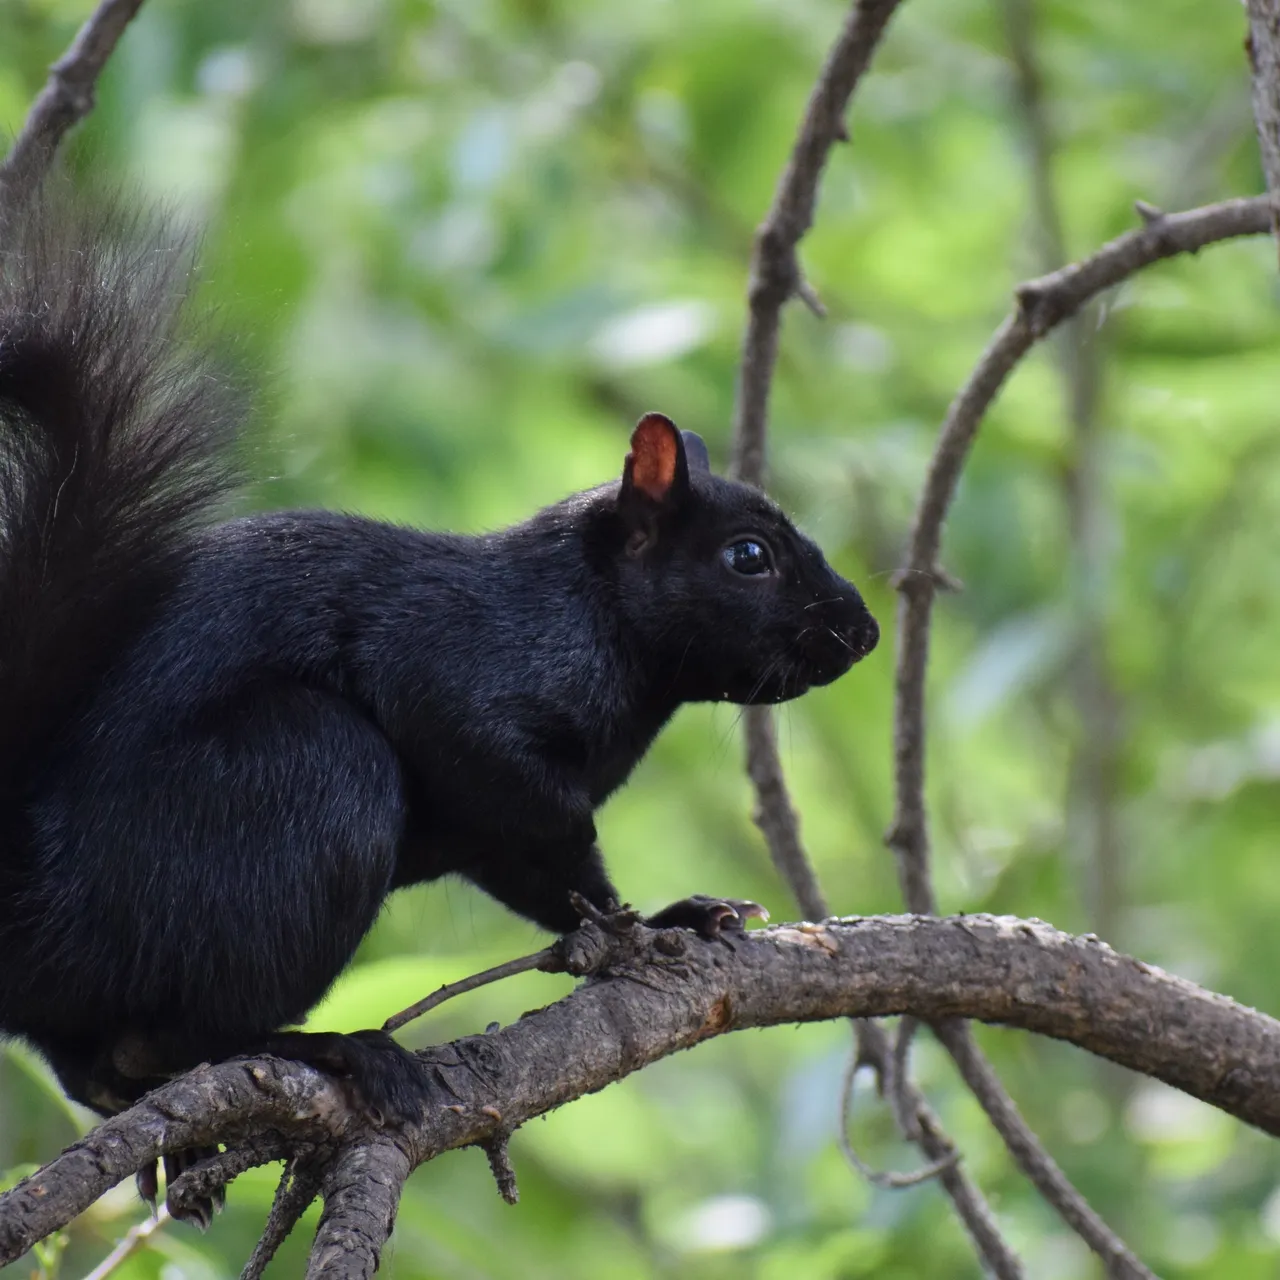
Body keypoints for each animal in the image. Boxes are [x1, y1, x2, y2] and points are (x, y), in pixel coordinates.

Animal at [0, 188, 878, 1220]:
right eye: (749, 556)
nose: (863, 632)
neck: (589, 616)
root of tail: (37, 900)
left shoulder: (495, 830)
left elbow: (550, 883)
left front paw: (667, 919)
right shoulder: (459, 688)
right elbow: (553, 838)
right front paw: (645, 926)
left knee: (98, 1068)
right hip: (301, 772)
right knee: (186, 1033)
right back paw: (329, 1050)